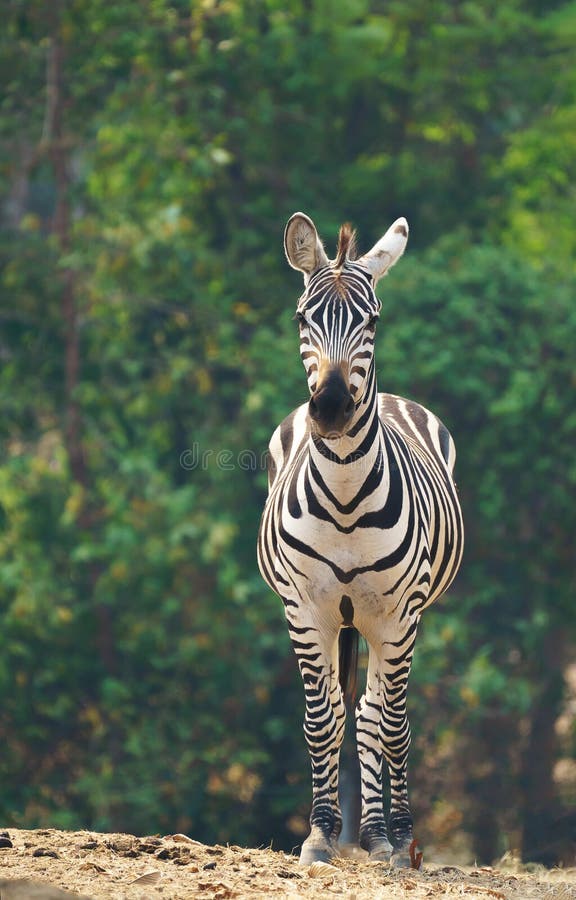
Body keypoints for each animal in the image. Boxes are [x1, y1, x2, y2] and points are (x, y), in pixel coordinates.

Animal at [257, 212, 464, 867]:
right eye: (303, 318)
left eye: (371, 321)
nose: (329, 409)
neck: (347, 497)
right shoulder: (305, 610)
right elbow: (321, 720)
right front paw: (321, 834)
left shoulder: (398, 615)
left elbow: (390, 725)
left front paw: (397, 842)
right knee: (351, 711)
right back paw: (364, 832)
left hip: (391, 621)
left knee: (377, 716)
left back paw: (382, 835)